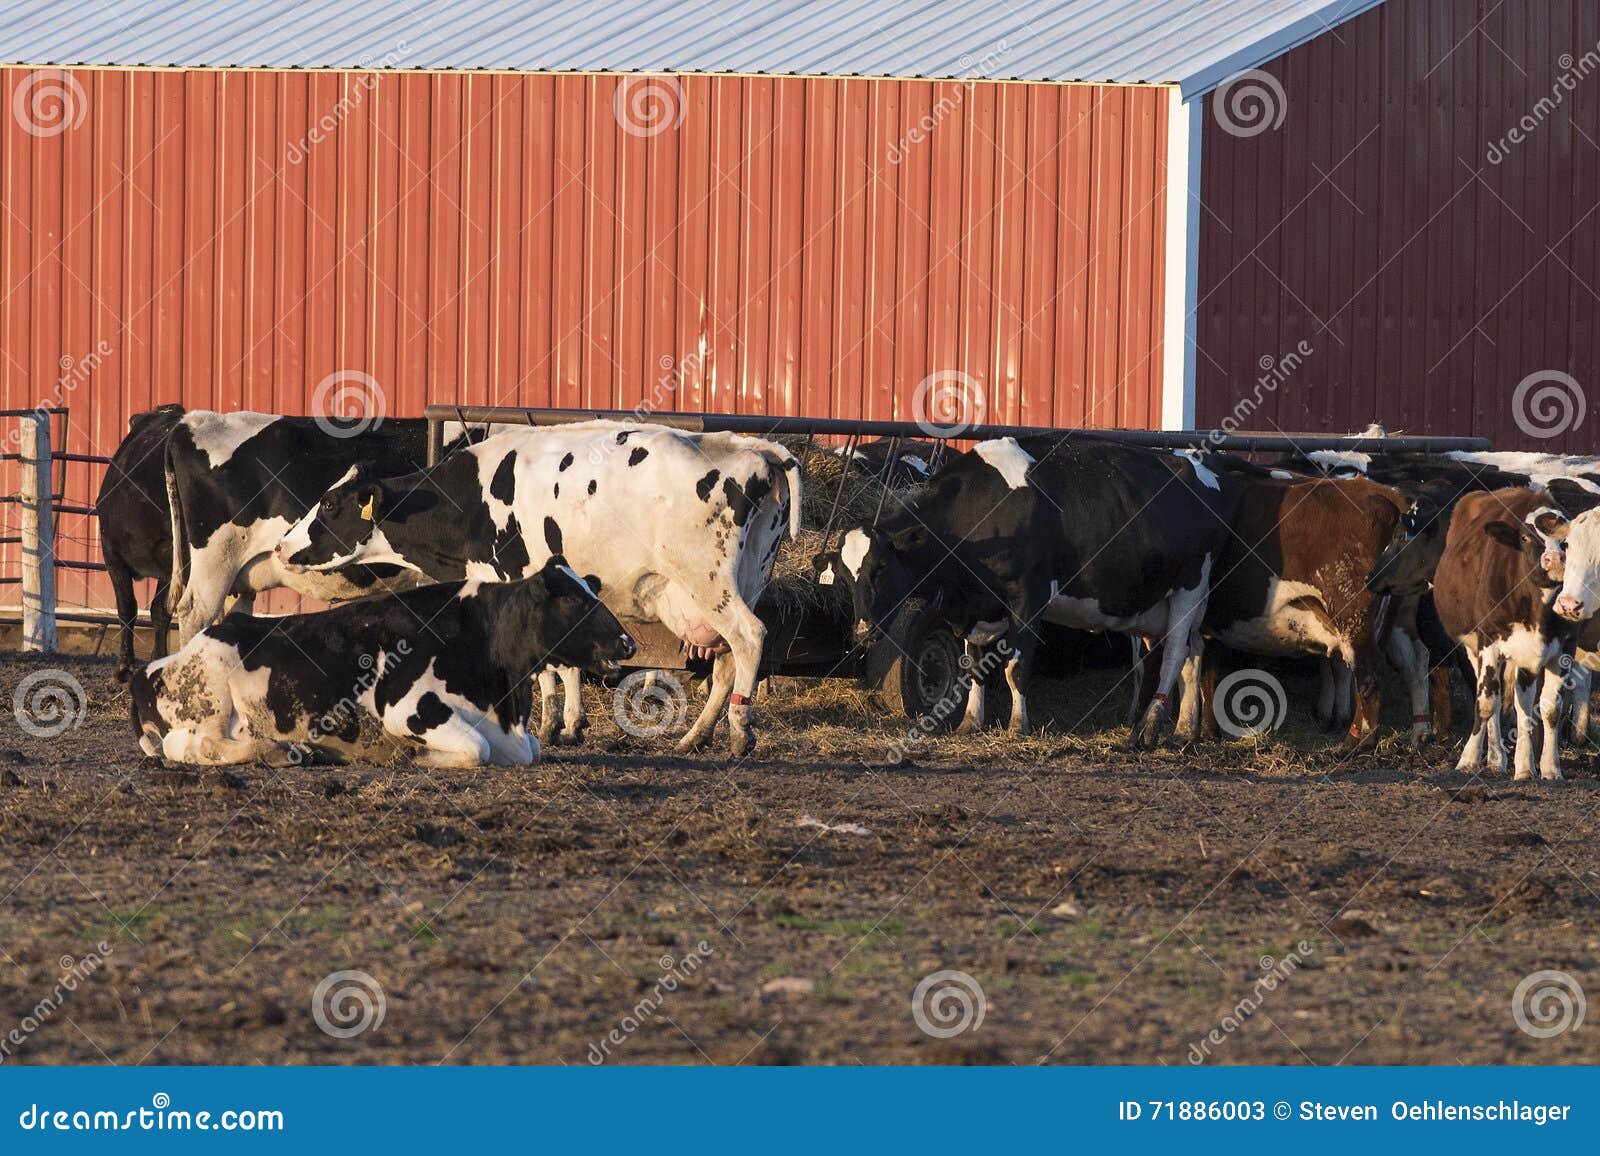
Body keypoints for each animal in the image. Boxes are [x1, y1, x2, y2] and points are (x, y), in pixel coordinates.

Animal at [131, 558, 635, 768]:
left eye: (592, 592)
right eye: (574, 601)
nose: (628, 643)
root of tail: (152, 669)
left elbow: (528, 749)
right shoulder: (407, 708)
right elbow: (477, 749)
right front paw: (410, 754)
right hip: (210, 703)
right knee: (193, 747)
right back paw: (279, 751)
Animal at [275, 421, 801, 757]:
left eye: (328, 504)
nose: (281, 547)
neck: (474, 498)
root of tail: (754, 449)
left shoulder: (515, 577)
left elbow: (542, 660)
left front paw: (549, 724)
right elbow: (562, 657)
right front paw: (569, 724)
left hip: (709, 581)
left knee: (749, 638)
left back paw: (739, 733)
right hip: (740, 582)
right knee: (729, 659)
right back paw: (696, 736)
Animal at [814, 437, 1243, 745]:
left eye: (881, 568)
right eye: (844, 576)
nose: (863, 631)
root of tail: (1200, 468)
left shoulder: (1028, 596)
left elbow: (1015, 668)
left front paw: (1017, 725)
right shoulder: (975, 609)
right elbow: (974, 667)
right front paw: (971, 722)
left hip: (1191, 585)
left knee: (1175, 653)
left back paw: (1150, 728)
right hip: (1168, 601)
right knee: (1194, 653)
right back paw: (1185, 730)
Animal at [1432, 488, 1576, 780]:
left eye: (1566, 540)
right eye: (1525, 537)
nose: (1555, 560)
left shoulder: (1560, 648)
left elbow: (1548, 708)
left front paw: (1545, 767)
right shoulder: (1489, 641)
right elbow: (1487, 703)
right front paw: (1469, 759)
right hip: (1474, 648)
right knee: (1495, 698)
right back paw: (1495, 758)